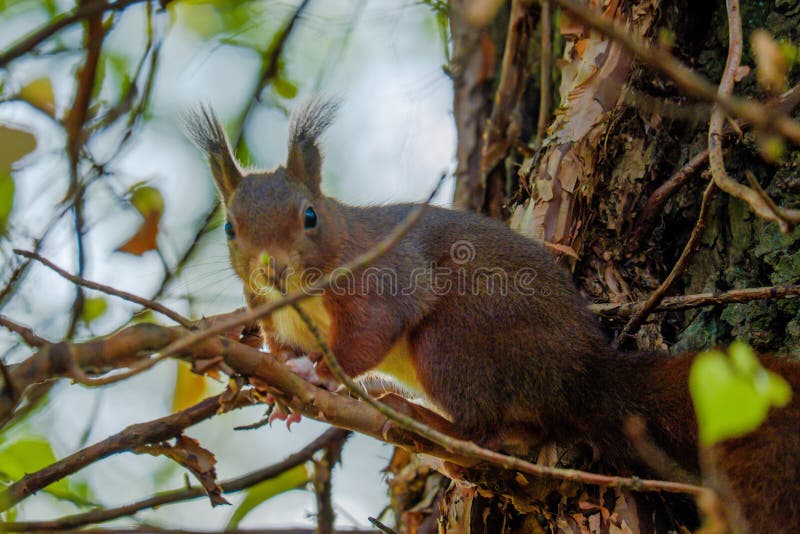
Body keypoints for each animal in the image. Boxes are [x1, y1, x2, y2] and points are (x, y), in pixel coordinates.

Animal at [187, 101, 800, 532]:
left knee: (479, 426)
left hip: (454, 345)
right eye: (229, 228)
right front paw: (281, 389)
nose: (272, 269)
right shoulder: (270, 316)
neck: (302, 297)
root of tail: (583, 372)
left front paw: (316, 373)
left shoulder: (383, 281)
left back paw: (422, 422)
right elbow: (281, 349)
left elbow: (368, 336)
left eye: (310, 216)